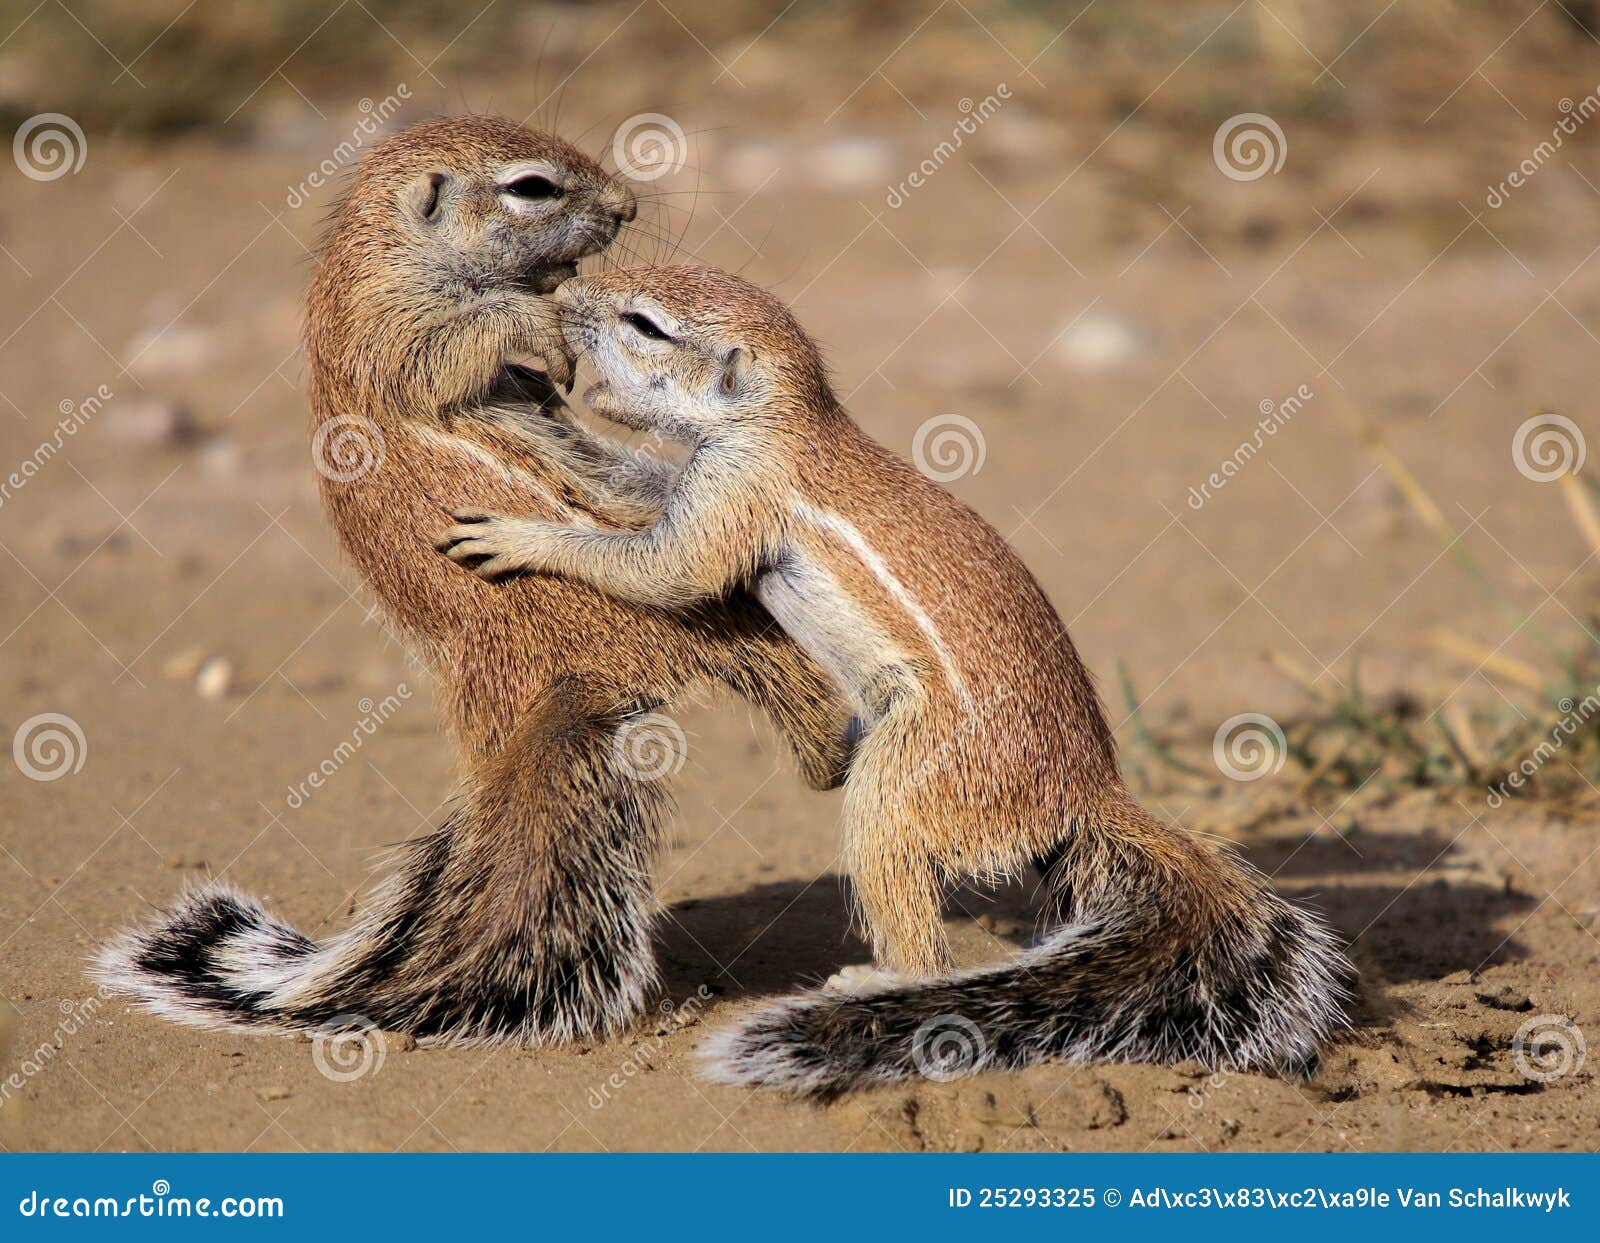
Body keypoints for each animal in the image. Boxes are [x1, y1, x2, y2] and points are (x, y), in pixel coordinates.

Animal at [94, 119, 855, 1046]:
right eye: (532, 187)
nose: (627, 208)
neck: (391, 250)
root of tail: (542, 696)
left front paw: (553, 359)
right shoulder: (390, 327)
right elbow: (456, 348)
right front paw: (545, 323)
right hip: (688, 616)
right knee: (768, 665)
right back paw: (832, 744)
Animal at [435, 264, 1355, 1099]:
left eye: (645, 323)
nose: (566, 294)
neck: (777, 421)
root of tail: (1087, 789)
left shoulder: (735, 490)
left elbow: (666, 568)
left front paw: (521, 533)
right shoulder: (701, 479)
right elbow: (639, 483)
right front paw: (544, 424)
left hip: (909, 782)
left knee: (920, 931)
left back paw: (878, 978)